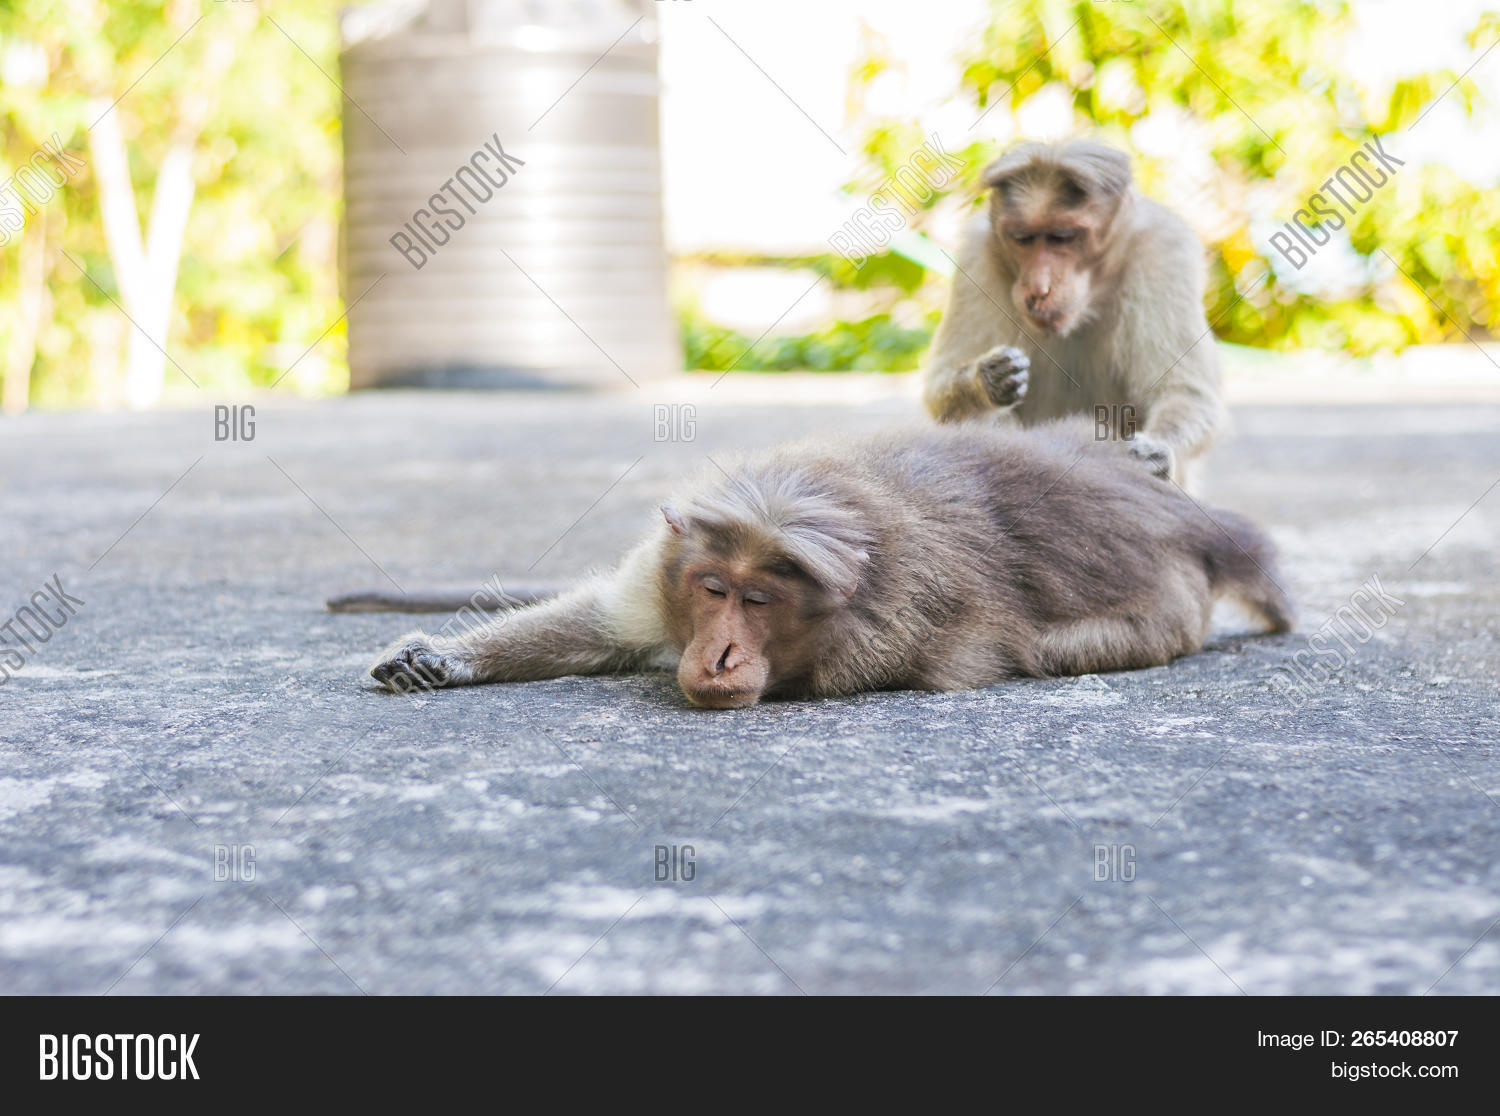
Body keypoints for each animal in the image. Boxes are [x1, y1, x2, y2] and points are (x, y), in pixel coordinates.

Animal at [364, 419, 1291, 708]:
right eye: (713, 589)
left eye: (760, 603)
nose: (718, 654)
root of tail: (1190, 517)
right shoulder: (664, 576)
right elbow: (599, 624)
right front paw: (439, 656)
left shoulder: (902, 632)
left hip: (1169, 606)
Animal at [922, 139, 1226, 488]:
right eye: (1022, 238)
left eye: (1063, 237)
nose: (1038, 288)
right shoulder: (978, 254)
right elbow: (940, 390)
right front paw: (987, 379)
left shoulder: (1164, 251)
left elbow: (1185, 393)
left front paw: (1156, 454)